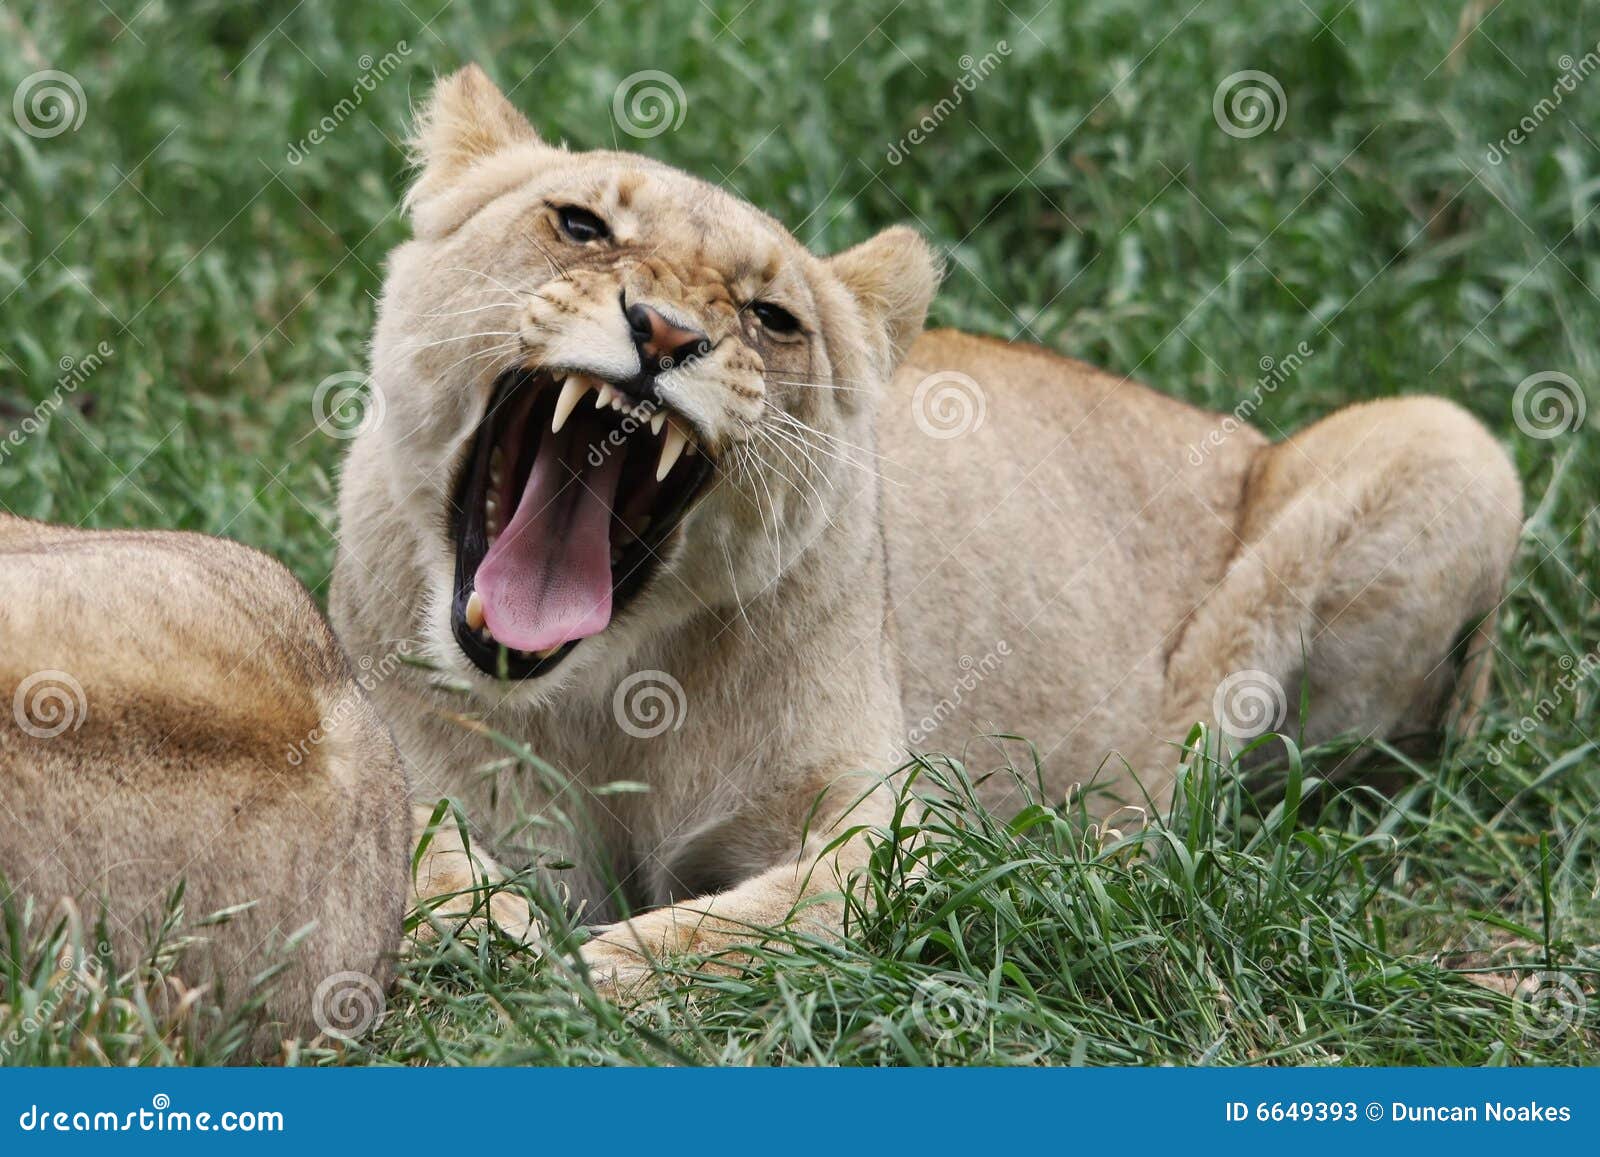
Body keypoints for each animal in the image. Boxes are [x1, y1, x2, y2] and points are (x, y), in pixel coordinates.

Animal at [330, 65, 1522, 991]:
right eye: (580, 224)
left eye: (772, 318)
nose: (662, 333)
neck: (604, 690)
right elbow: (421, 866)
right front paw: (499, 939)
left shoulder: (893, 834)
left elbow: (745, 923)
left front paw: (580, 977)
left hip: (1446, 441)